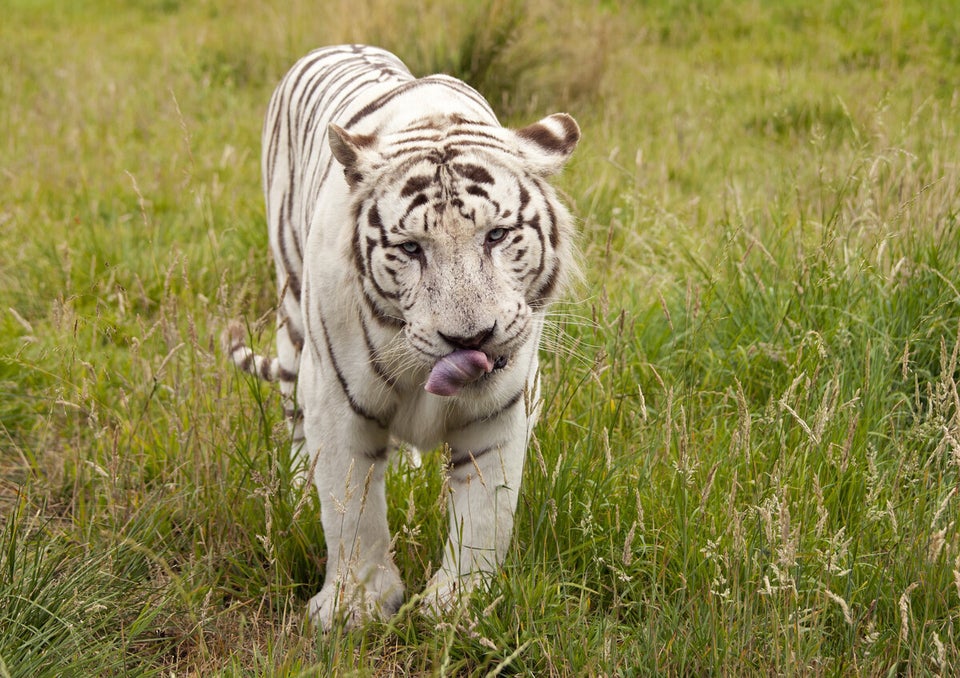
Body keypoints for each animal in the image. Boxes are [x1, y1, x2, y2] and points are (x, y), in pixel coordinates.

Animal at [224, 44, 580, 629]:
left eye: (496, 235)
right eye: (411, 248)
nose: (470, 339)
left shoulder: (502, 408)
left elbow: (487, 513)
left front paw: (461, 604)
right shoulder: (336, 401)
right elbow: (350, 509)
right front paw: (356, 605)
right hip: (290, 307)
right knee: (293, 414)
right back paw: (297, 489)